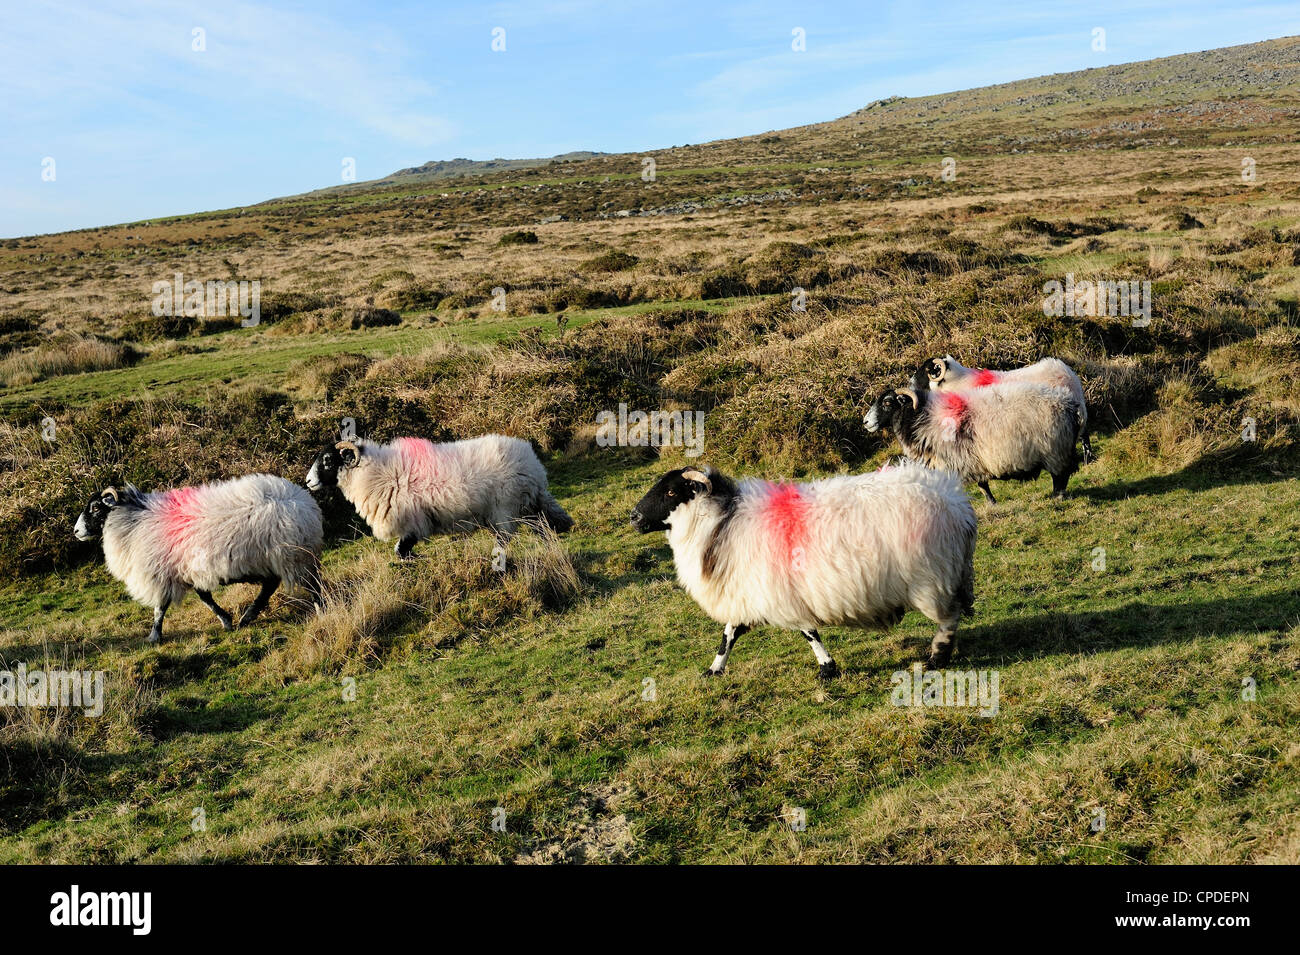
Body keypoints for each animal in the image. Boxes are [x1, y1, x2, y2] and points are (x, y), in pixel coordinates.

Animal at [73, 475, 323, 643]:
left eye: (95, 507)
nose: (76, 531)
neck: (134, 522)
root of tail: (306, 503)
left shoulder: (163, 572)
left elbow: (160, 608)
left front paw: (154, 636)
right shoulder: (186, 569)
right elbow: (205, 598)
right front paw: (226, 620)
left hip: (295, 556)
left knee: (311, 585)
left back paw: (320, 611)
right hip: (276, 558)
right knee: (270, 585)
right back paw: (248, 617)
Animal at [305, 435, 573, 559]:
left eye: (327, 460)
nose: (307, 482)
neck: (375, 473)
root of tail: (533, 464)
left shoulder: (412, 522)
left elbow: (401, 551)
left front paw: (414, 560)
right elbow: (401, 552)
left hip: (506, 507)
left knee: (506, 536)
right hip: (527, 504)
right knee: (542, 524)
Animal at [630, 461, 977, 677]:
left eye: (671, 491)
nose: (634, 517)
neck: (720, 524)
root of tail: (956, 503)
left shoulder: (781, 594)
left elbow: (808, 632)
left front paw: (827, 669)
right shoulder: (747, 591)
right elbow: (728, 634)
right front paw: (715, 669)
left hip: (932, 579)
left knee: (949, 617)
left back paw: (937, 657)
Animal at [864, 381, 1078, 503]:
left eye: (887, 402)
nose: (865, 422)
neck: (920, 417)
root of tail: (1069, 403)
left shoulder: (960, 459)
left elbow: (981, 486)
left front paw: (990, 503)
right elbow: (983, 485)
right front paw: (992, 503)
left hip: (1055, 450)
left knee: (1060, 476)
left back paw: (1057, 497)